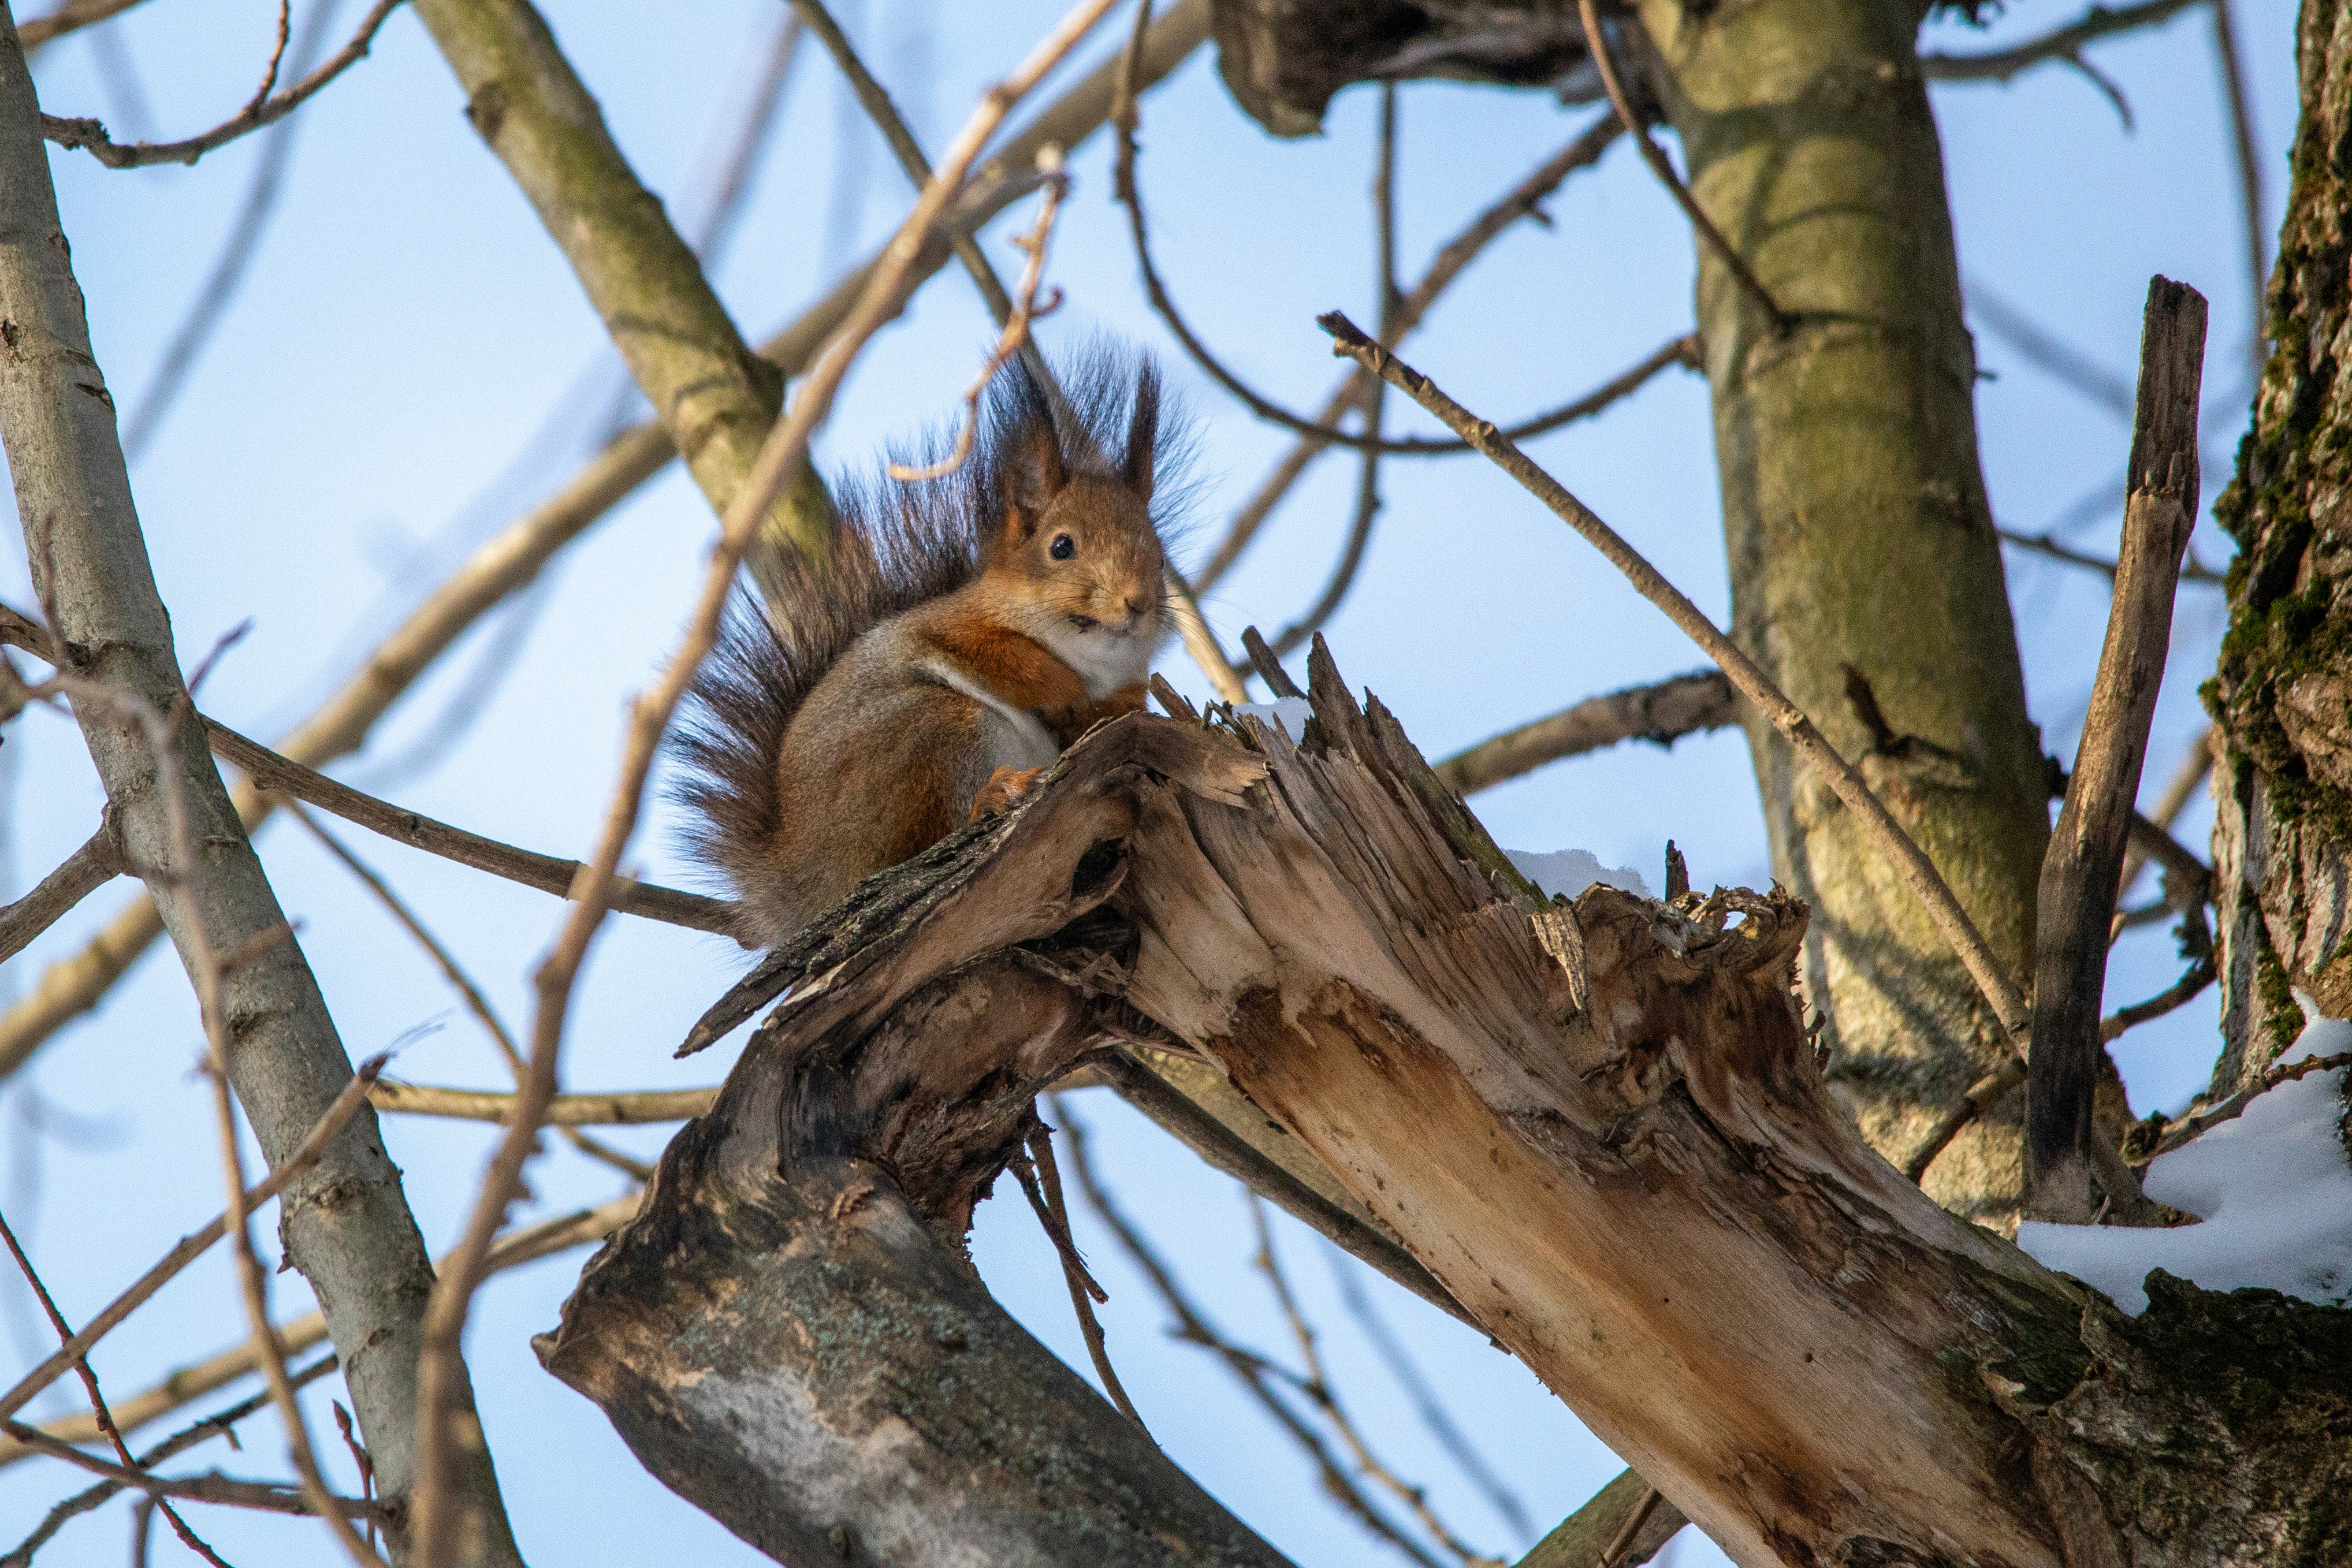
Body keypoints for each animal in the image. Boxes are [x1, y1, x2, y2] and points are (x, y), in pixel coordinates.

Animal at [669, 347, 1180, 949]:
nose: (1137, 601)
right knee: (926, 838)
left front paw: (1109, 710)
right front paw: (1063, 684)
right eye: (1062, 547)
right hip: (932, 732)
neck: (1091, 657)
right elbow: (1009, 660)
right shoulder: (954, 628)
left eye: (1160, 554)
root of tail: (806, 876)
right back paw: (995, 794)